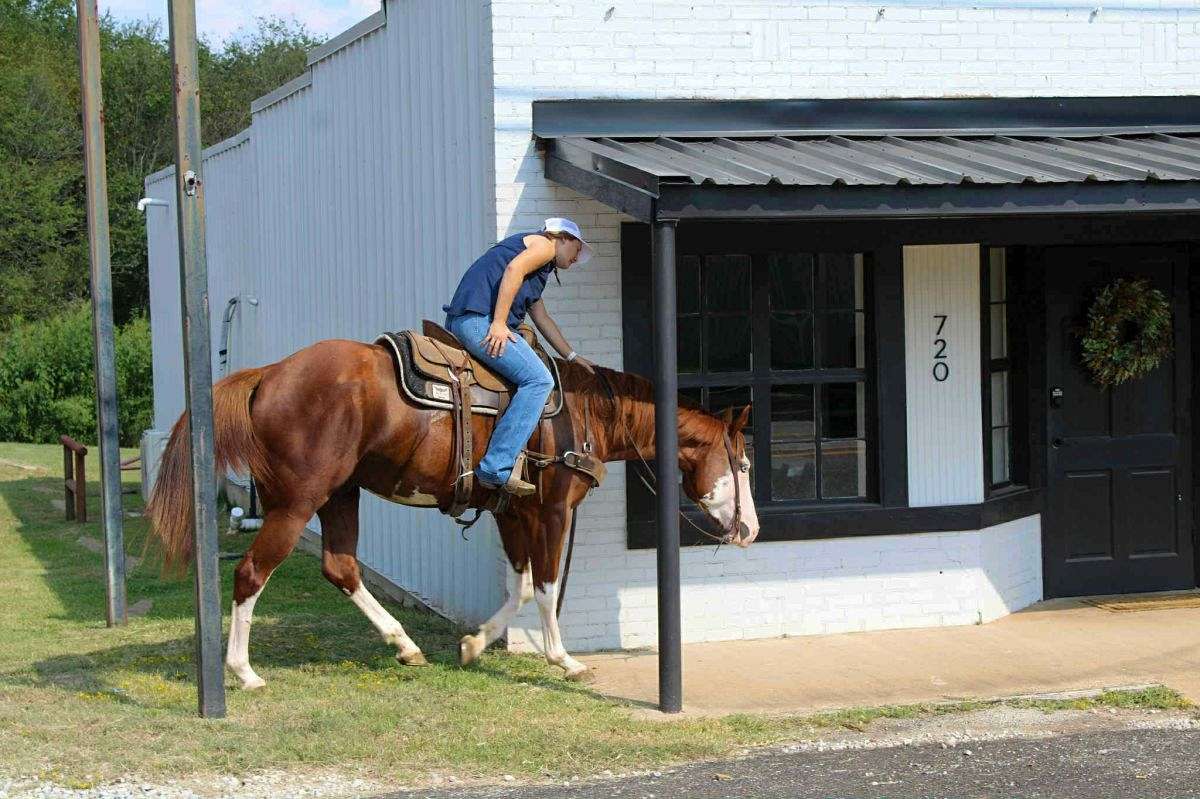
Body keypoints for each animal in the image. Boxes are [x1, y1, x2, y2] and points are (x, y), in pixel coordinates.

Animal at [147, 337, 759, 688]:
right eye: (745, 461)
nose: (751, 529)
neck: (584, 413)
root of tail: (268, 375)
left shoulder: (512, 514)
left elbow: (519, 589)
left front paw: (473, 645)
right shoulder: (552, 511)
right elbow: (546, 587)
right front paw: (563, 659)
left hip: (341, 496)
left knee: (340, 567)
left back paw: (404, 646)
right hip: (296, 503)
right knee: (253, 571)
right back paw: (243, 671)